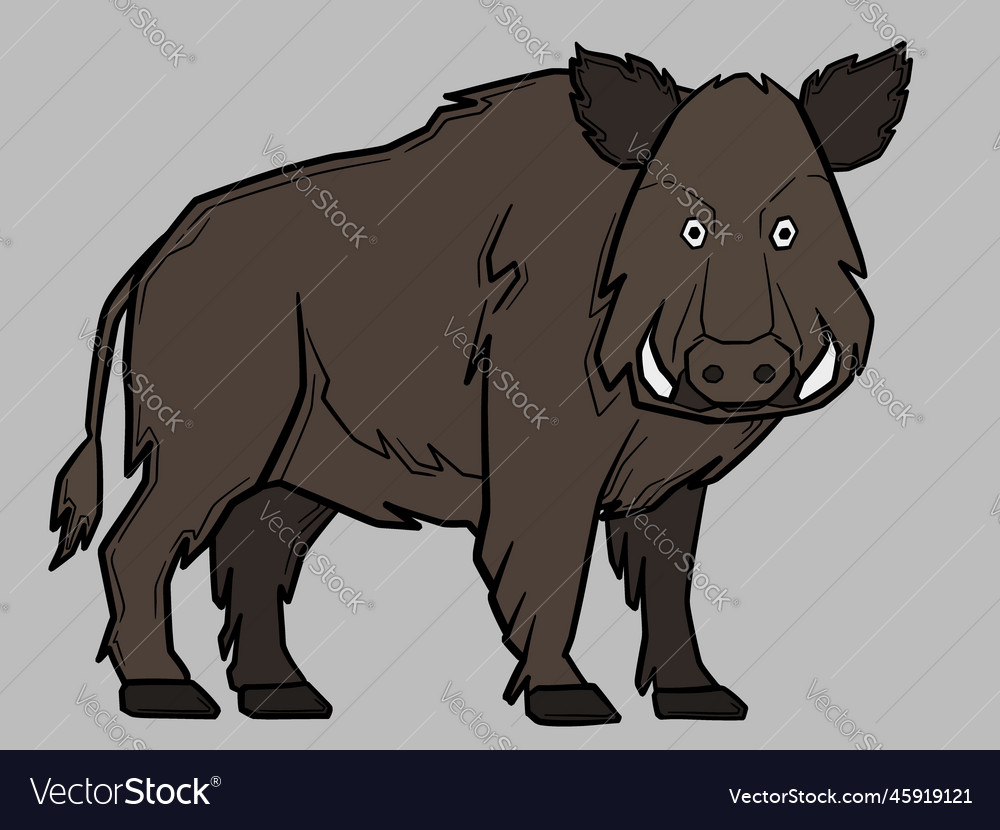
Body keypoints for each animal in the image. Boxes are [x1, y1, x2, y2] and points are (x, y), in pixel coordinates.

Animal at [51, 44, 911, 725]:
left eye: (789, 228)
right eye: (688, 228)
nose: (734, 362)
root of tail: (152, 256)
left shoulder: (670, 480)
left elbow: (670, 579)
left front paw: (706, 703)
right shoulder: (548, 459)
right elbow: (552, 571)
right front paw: (572, 705)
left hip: (292, 470)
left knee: (252, 554)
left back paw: (291, 700)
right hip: (206, 445)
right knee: (140, 543)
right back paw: (169, 697)